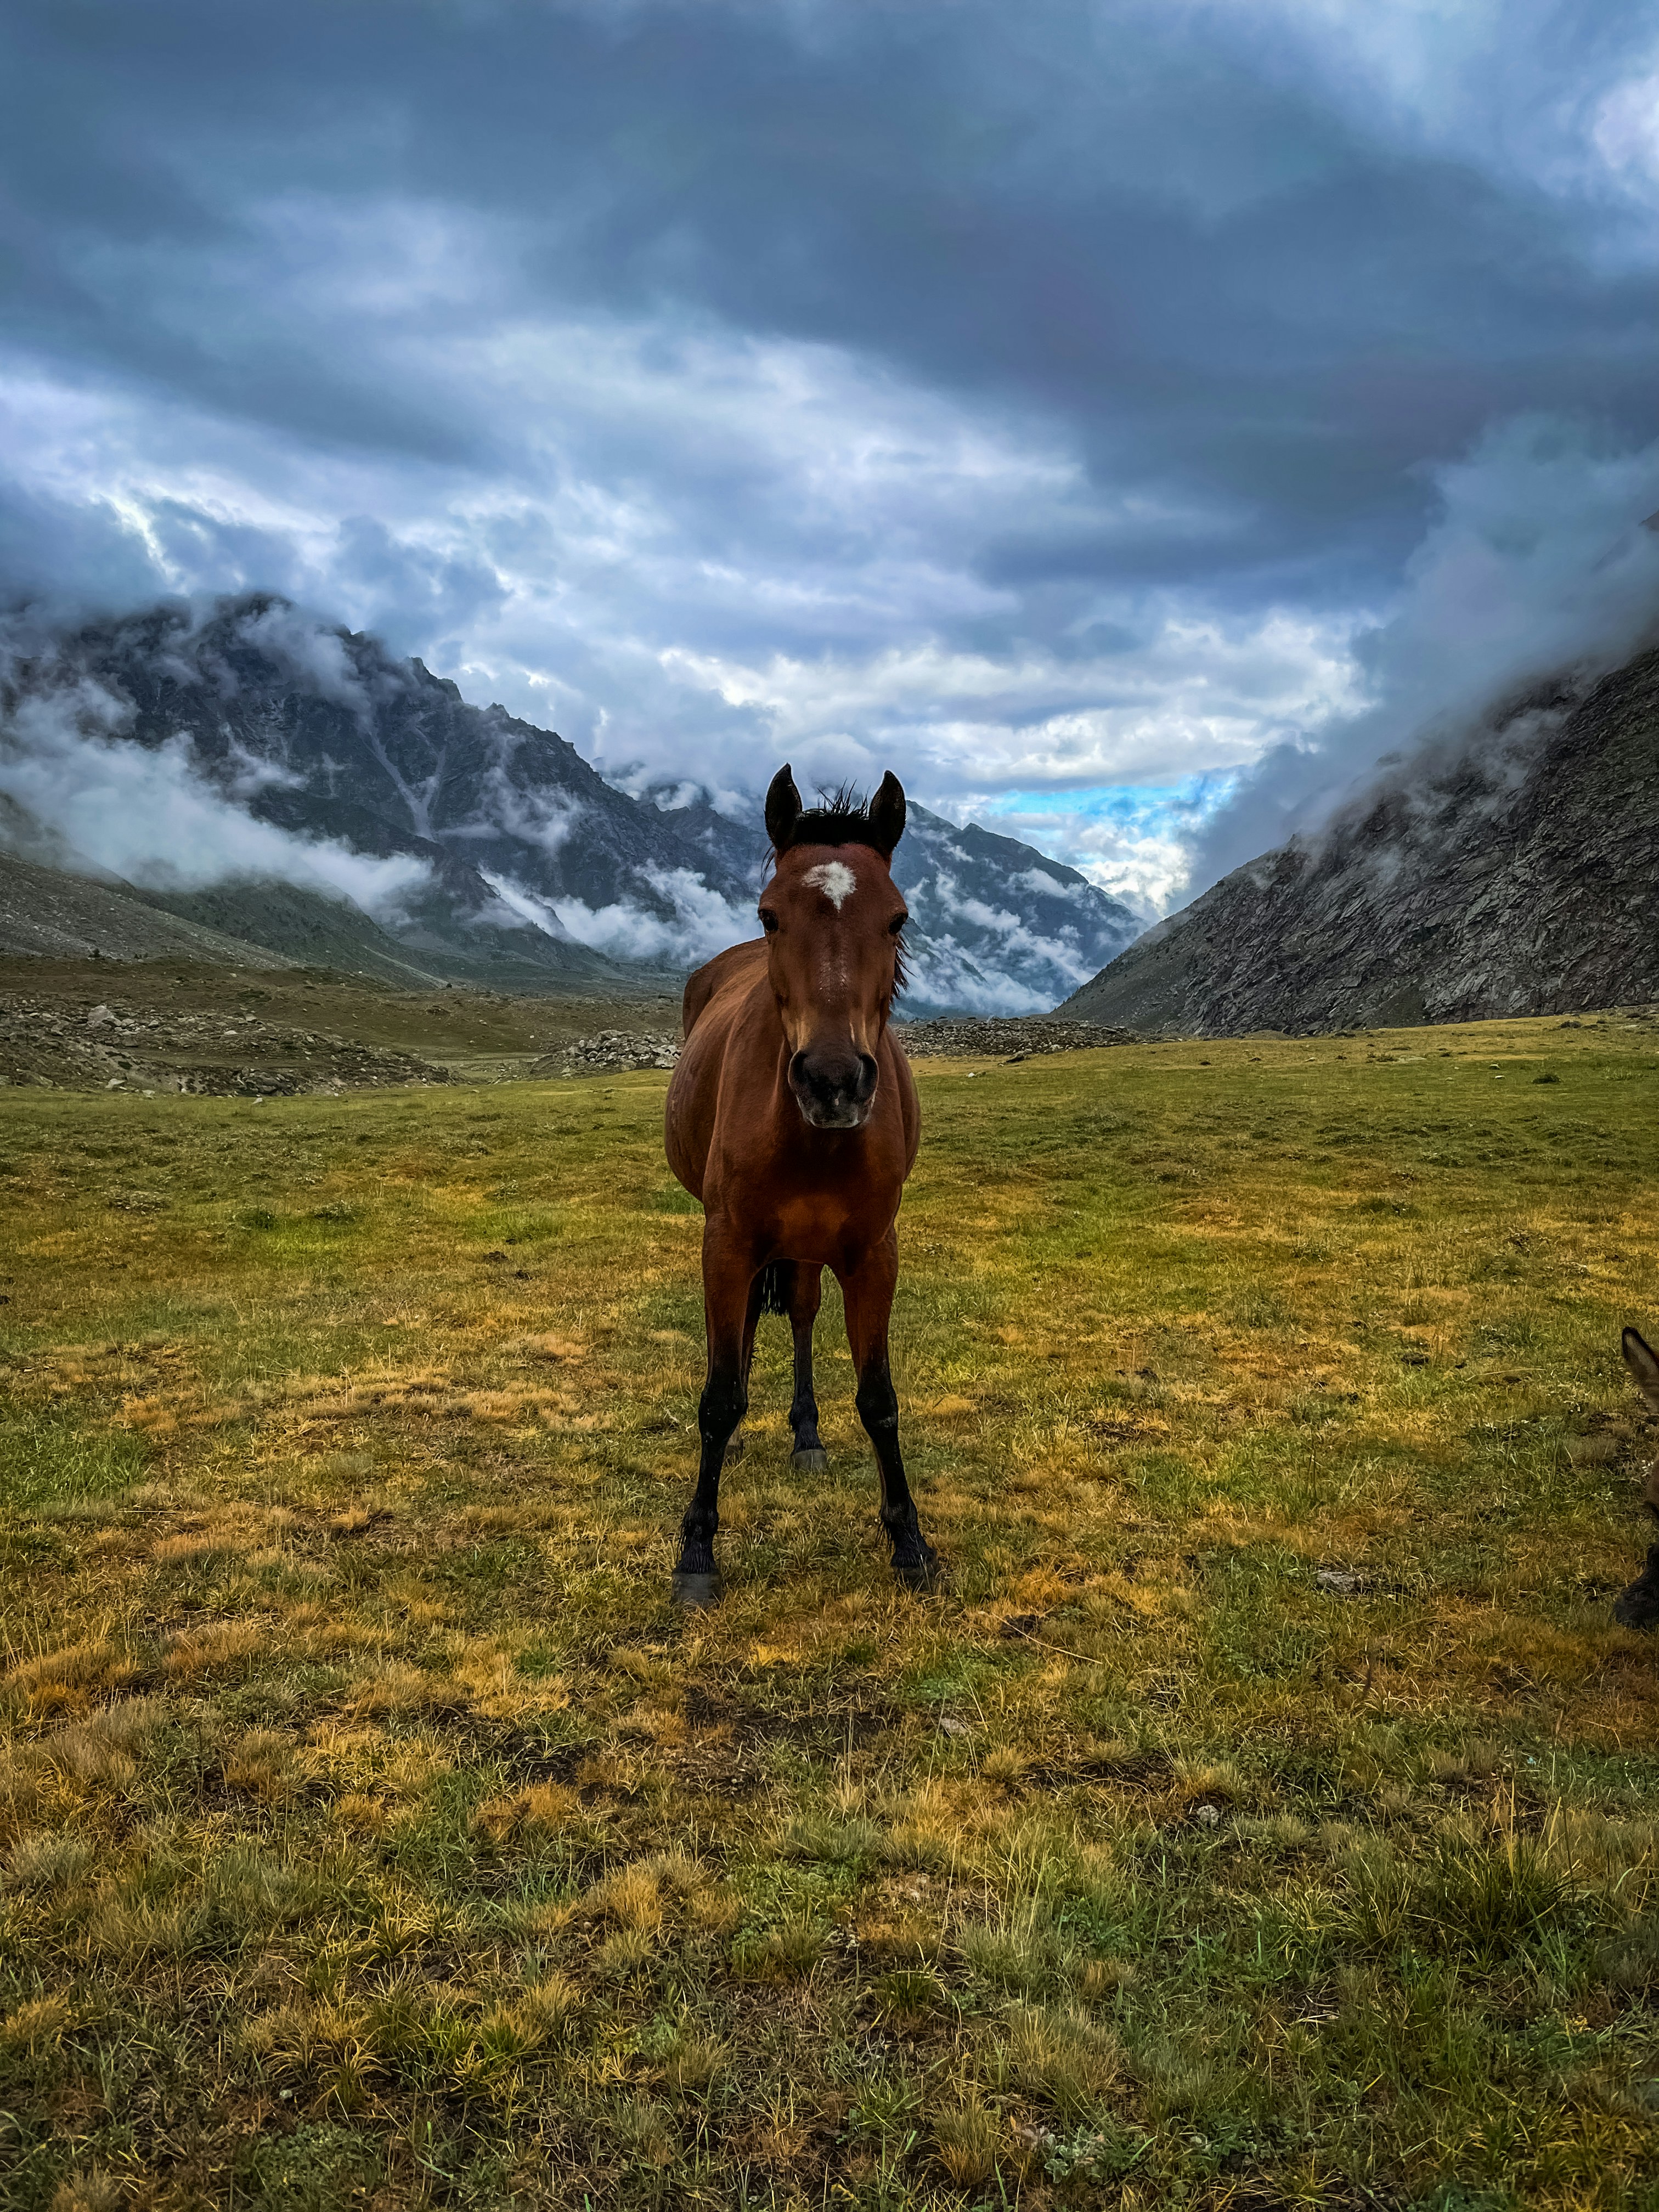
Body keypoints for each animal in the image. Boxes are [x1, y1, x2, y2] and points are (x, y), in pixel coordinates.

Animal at [662, 765, 941, 1606]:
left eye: (897, 919)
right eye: (771, 915)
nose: (834, 1081)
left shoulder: (872, 1252)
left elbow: (879, 1401)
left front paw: (909, 1540)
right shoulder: (727, 1242)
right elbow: (718, 1396)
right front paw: (697, 1551)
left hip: (814, 1247)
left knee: (805, 1314)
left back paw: (806, 1432)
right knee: (752, 1327)